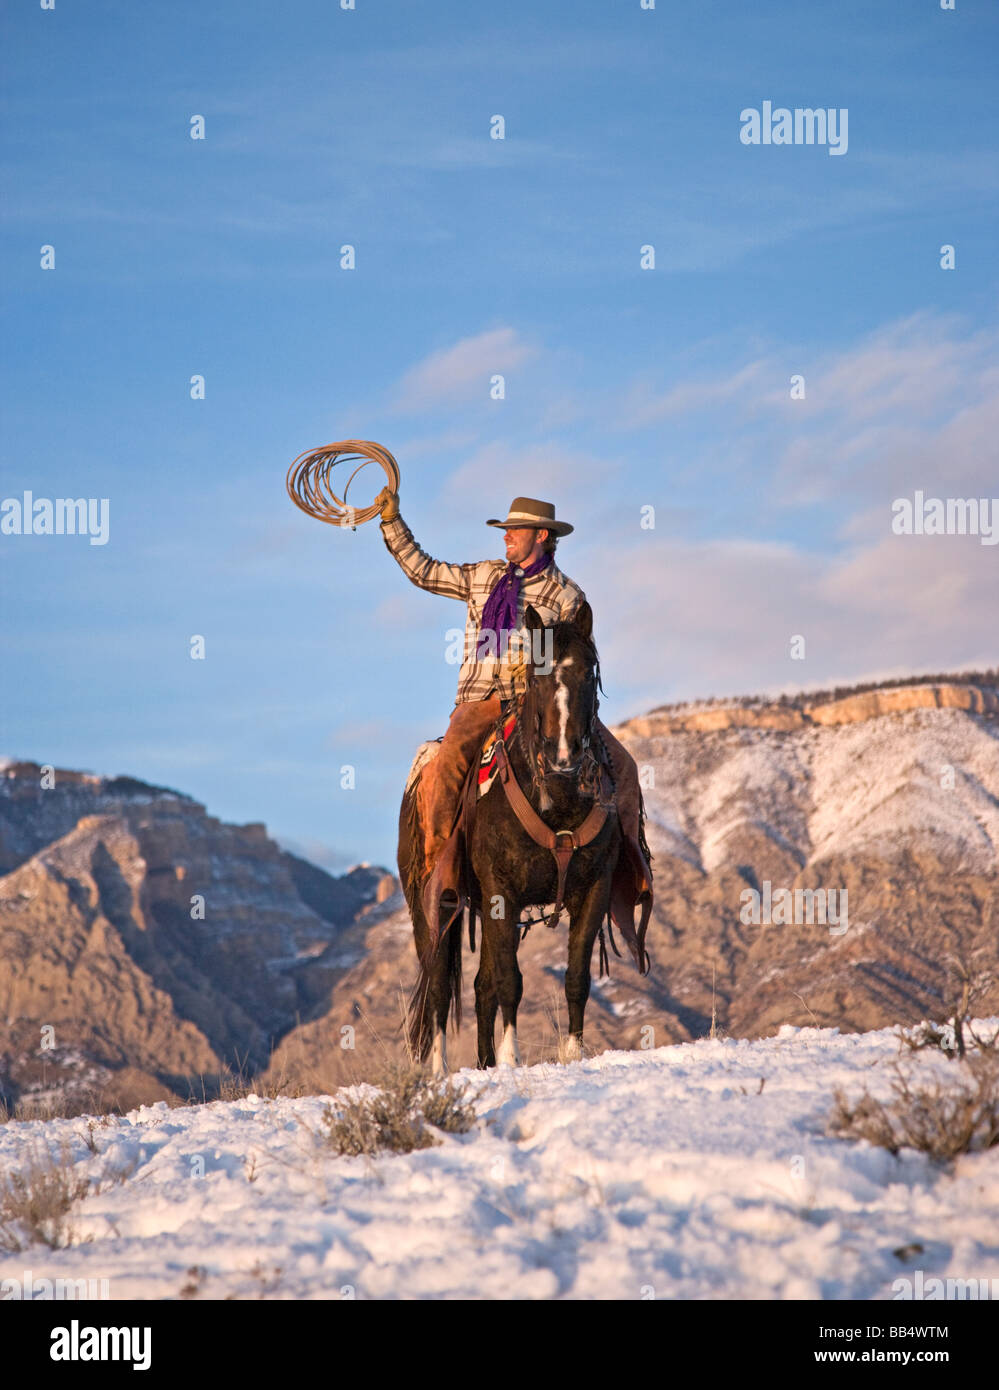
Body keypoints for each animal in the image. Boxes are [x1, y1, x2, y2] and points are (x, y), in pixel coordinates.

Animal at [399, 600, 645, 1072]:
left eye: (590, 672)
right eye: (536, 674)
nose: (564, 755)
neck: (558, 799)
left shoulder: (594, 888)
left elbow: (575, 977)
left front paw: (571, 1055)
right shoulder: (502, 891)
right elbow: (510, 981)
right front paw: (511, 1058)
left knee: (480, 987)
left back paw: (483, 1064)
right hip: (433, 908)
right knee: (439, 987)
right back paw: (439, 1072)